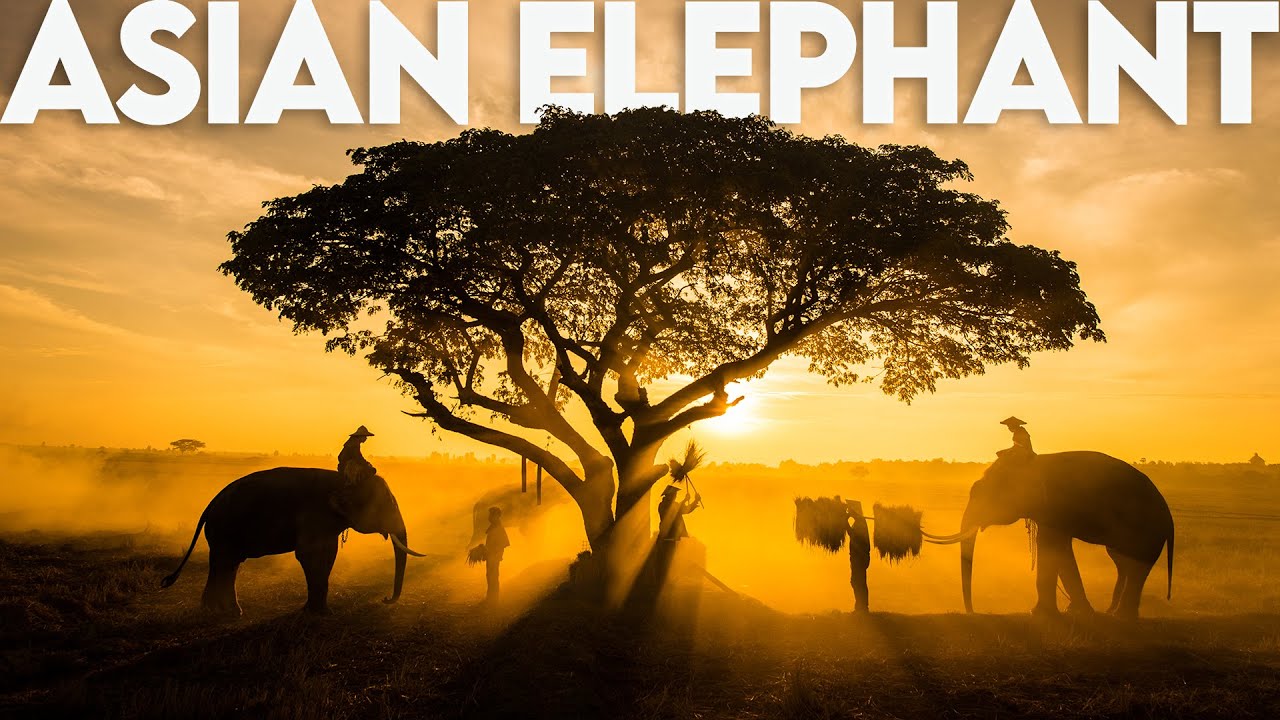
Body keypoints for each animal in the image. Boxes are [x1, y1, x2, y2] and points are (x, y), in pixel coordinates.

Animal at [160, 467, 426, 615]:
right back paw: (222, 612)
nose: (385, 599)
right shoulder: (315, 514)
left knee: (228, 565)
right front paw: (320, 614)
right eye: (387, 505)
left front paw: (318, 612)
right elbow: (312, 555)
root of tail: (210, 505)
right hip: (224, 529)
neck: (343, 480)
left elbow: (326, 555)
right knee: (226, 563)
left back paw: (225, 612)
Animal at [959, 451, 1174, 618]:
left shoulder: (1056, 507)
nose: (972, 612)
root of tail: (1168, 515)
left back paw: (1121, 616)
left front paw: (1044, 614)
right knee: (1124, 563)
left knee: (1136, 566)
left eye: (979, 492)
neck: (1032, 462)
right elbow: (1056, 548)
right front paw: (1075, 612)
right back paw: (1114, 613)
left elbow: (1052, 546)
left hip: (1147, 532)